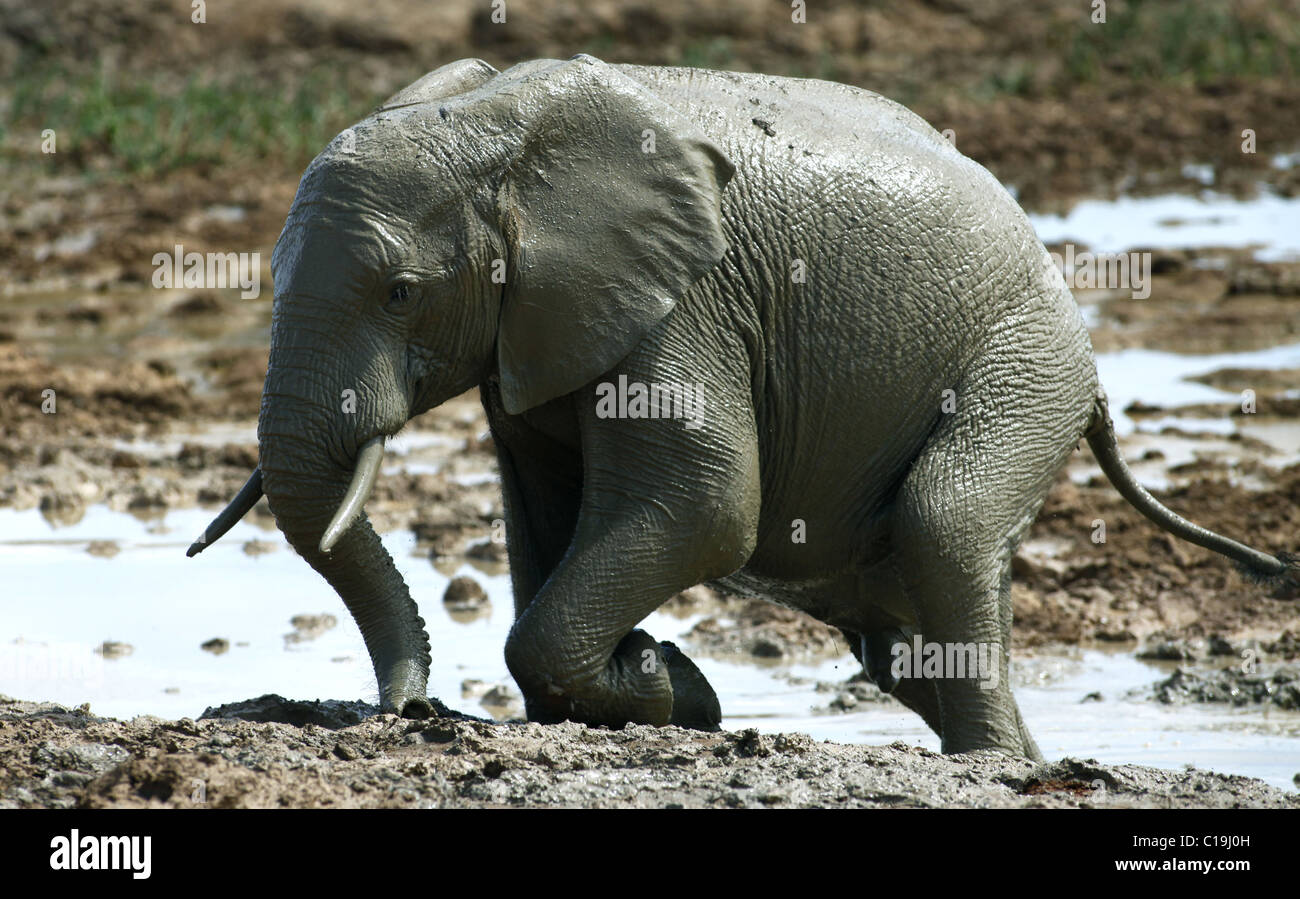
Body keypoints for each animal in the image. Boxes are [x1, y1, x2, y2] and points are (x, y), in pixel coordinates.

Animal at [188, 54, 1295, 759]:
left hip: (1026, 363)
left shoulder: (688, 300)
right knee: (893, 625)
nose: (408, 710)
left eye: (399, 292)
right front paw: (648, 685)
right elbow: (542, 512)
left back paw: (991, 768)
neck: (499, 131)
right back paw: (1027, 759)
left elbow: (704, 505)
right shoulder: (541, 327)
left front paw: (669, 683)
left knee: (946, 519)